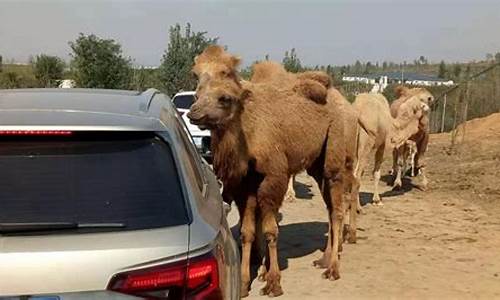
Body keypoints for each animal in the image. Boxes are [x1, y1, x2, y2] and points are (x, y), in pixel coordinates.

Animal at [188, 45, 352, 296]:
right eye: (195, 74)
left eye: (225, 99)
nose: (194, 112)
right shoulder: (245, 184)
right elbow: (247, 232)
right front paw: (245, 282)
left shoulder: (274, 177)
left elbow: (270, 230)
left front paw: (273, 281)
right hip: (316, 164)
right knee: (329, 206)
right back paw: (323, 260)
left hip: (334, 146)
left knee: (337, 208)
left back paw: (333, 268)